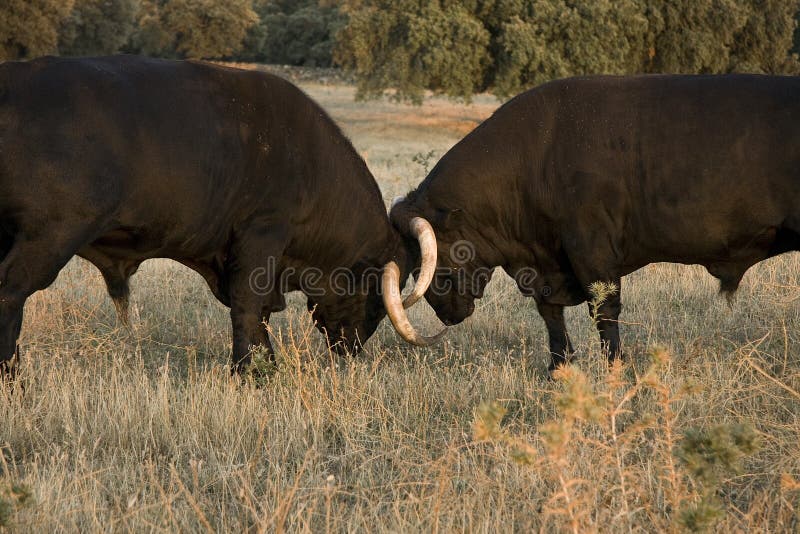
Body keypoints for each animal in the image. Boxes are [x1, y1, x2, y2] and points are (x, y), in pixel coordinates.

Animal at [0, 55, 442, 380]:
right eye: (377, 296)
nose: (353, 347)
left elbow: (259, 313)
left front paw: (265, 364)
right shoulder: (262, 234)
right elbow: (249, 304)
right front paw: (249, 372)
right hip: (51, 234)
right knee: (10, 292)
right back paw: (12, 378)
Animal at [388, 74, 800, 372]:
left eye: (434, 256)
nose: (443, 310)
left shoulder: (592, 250)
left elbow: (604, 310)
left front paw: (615, 369)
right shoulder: (546, 265)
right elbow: (550, 315)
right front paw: (558, 368)